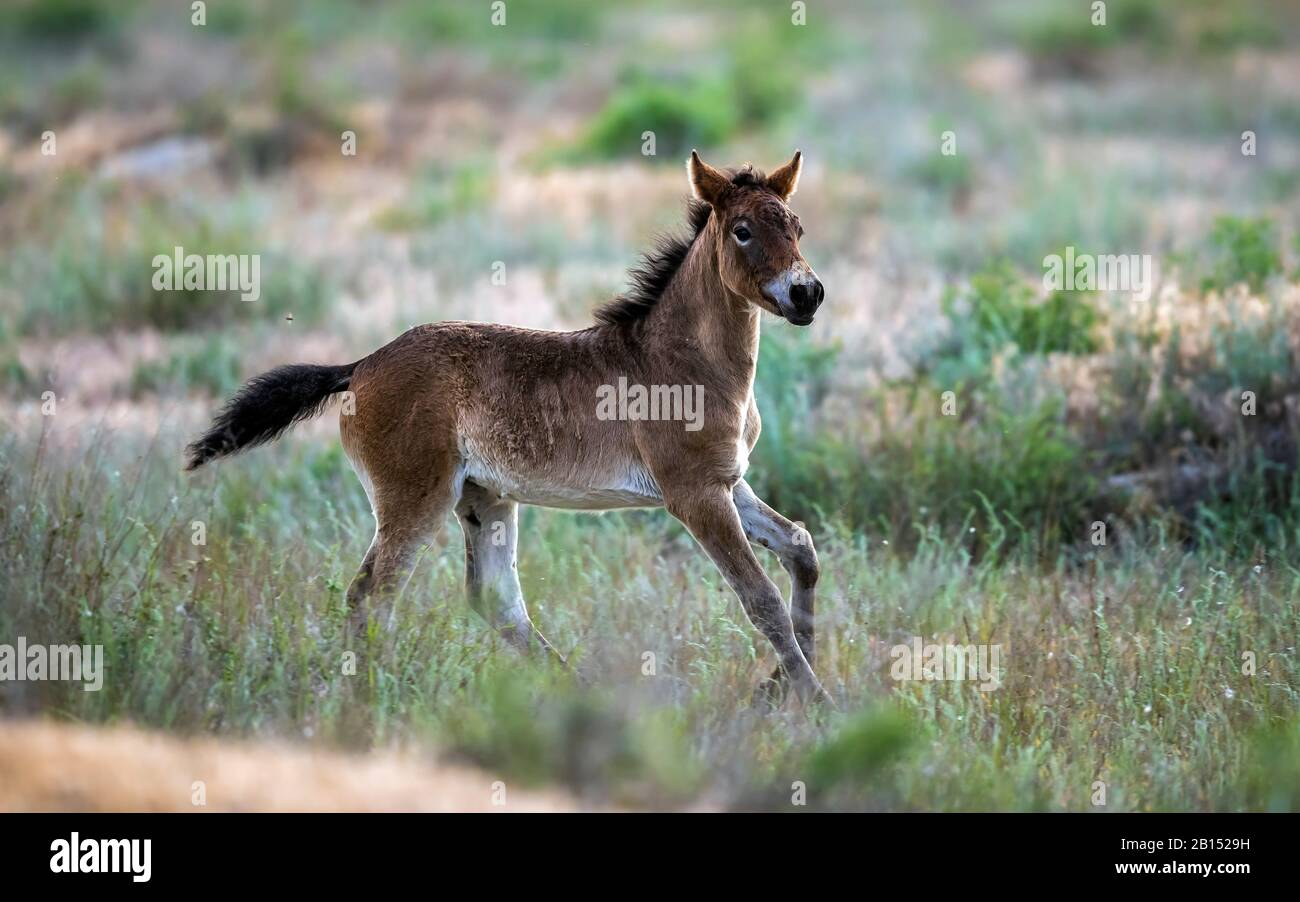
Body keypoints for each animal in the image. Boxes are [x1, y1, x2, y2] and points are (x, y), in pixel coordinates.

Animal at [187, 150, 830, 706]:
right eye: (742, 230)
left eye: (797, 225)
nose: (807, 293)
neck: (683, 361)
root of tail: (361, 366)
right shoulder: (694, 494)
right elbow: (760, 598)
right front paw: (816, 700)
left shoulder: (729, 482)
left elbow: (800, 546)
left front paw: (784, 681)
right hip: (414, 499)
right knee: (372, 596)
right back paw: (367, 703)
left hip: (484, 498)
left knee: (496, 600)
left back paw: (577, 696)